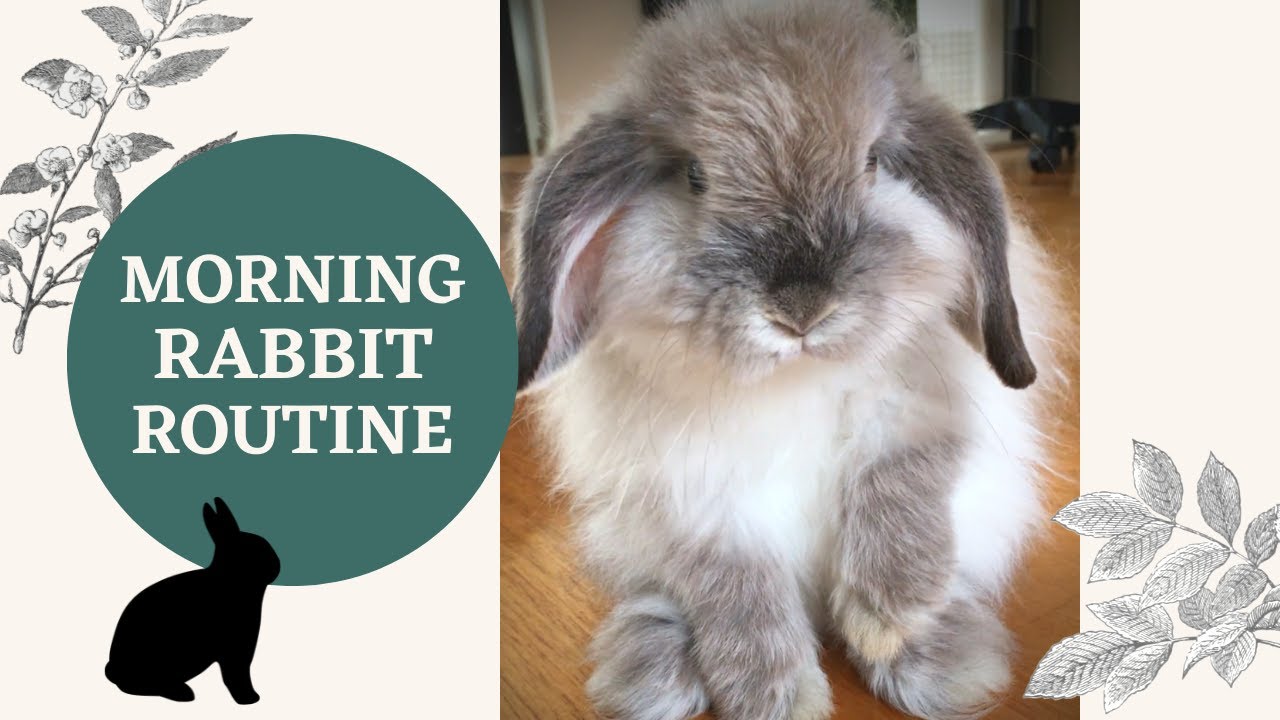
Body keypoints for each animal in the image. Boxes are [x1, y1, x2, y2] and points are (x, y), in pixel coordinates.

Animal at [105, 497, 280, 704]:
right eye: (254, 550)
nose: (277, 565)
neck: (230, 580)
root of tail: (113, 668)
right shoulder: (236, 649)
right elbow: (236, 675)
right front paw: (250, 699)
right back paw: (182, 693)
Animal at [510, 1, 1068, 719]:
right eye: (695, 176)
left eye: (871, 162)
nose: (801, 309)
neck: (797, 376)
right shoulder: (696, 498)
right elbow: (738, 589)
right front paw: (773, 693)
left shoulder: (925, 420)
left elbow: (898, 494)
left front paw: (890, 620)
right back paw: (653, 671)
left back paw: (943, 661)